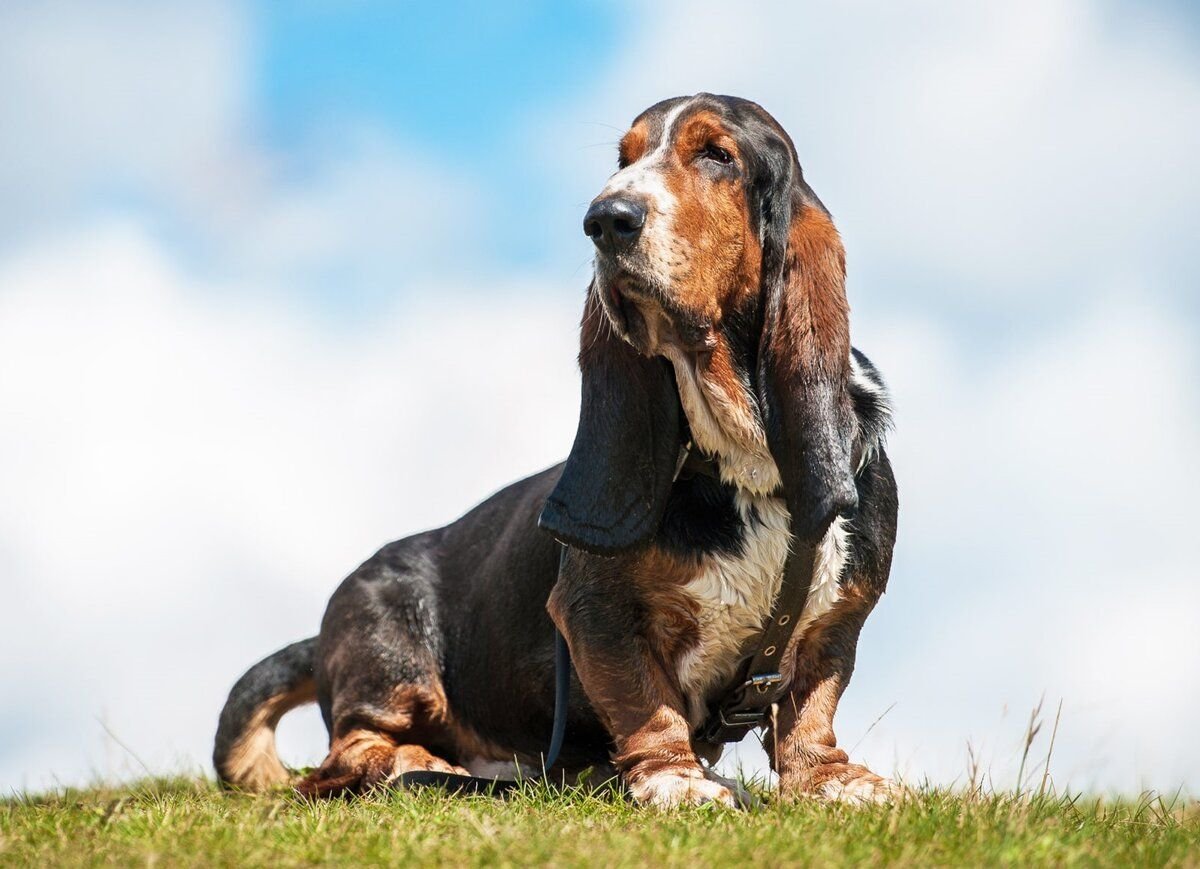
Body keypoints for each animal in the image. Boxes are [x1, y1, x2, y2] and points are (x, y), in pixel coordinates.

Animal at [216, 94, 897, 806]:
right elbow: (644, 699)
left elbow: (811, 702)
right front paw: (676, 779)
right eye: (622, 160)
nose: (606, 219)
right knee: (352, 749)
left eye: (716, 155)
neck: (739, 462)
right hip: (390, 653)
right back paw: (418, 763)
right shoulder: (595, 612)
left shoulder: (841, 617)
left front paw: (833, 779)